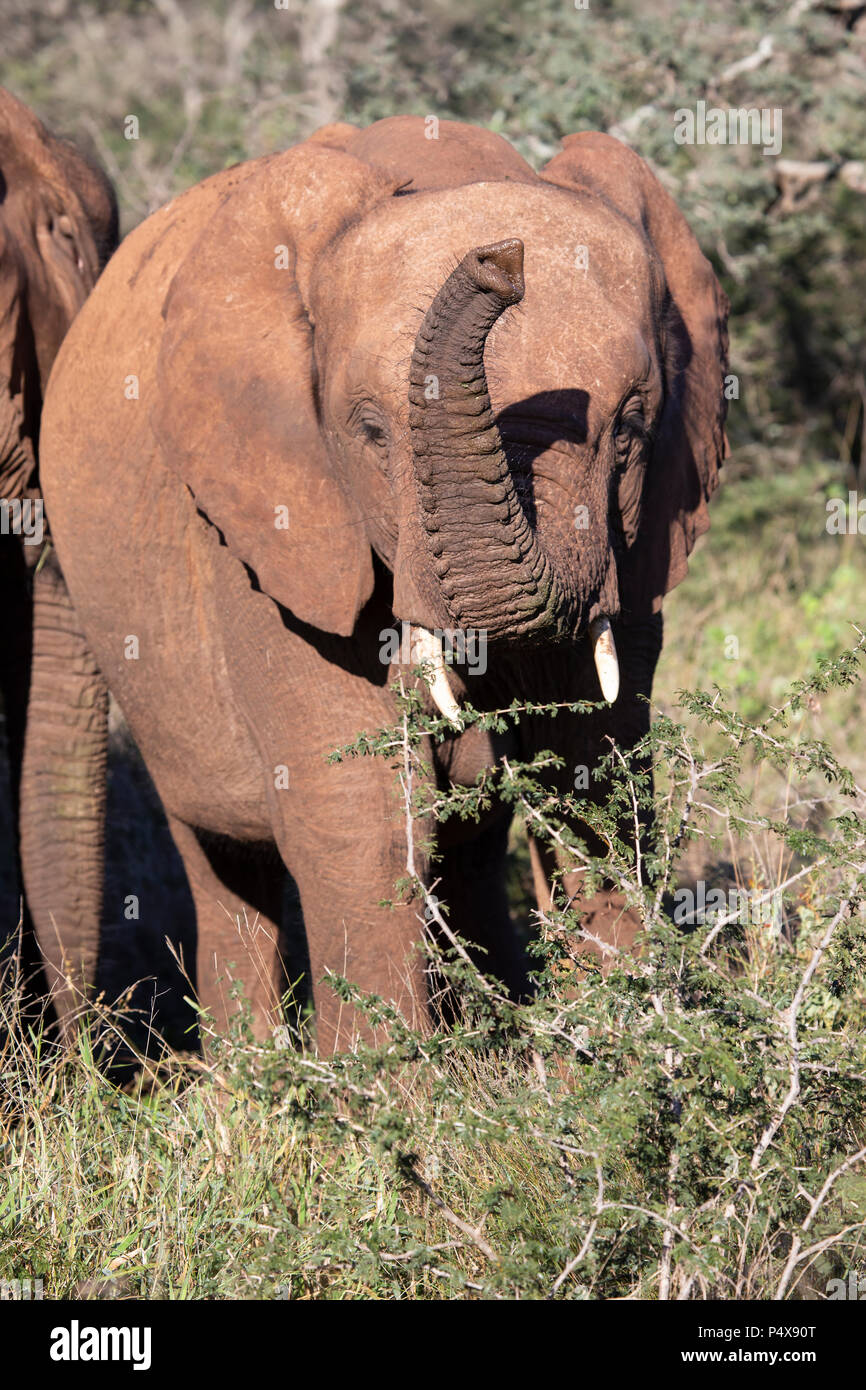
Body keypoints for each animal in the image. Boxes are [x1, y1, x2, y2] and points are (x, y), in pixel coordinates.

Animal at [27, 116, 728, 1051]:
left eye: (631, 428)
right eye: (369, 431)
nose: (499, 261)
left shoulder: (641, 542)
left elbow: (597, 768)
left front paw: (625, 1055)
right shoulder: (273, 533)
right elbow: (359, 813)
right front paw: (388, 1089)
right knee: (222, 857)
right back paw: (249, 1077)